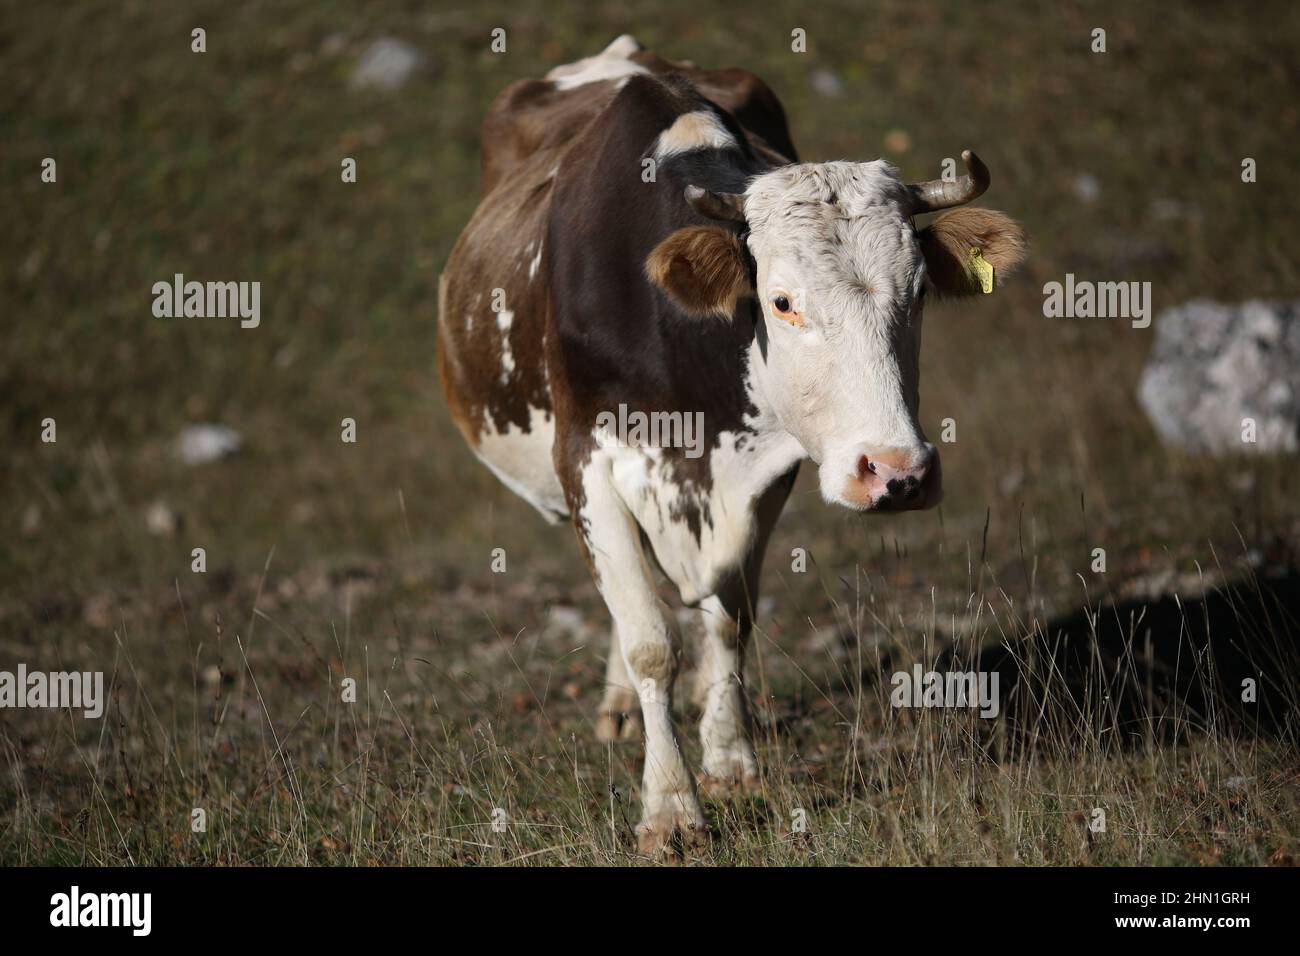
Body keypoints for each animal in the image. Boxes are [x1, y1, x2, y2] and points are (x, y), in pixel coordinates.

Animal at [438, 35, 1027, 856]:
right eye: (781, 301)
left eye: (916, 292)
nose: (896, 473)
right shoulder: (586, 459)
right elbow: (650, 639)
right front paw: (670, 809)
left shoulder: (764, 469)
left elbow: (727, 617)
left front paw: (729, 765)